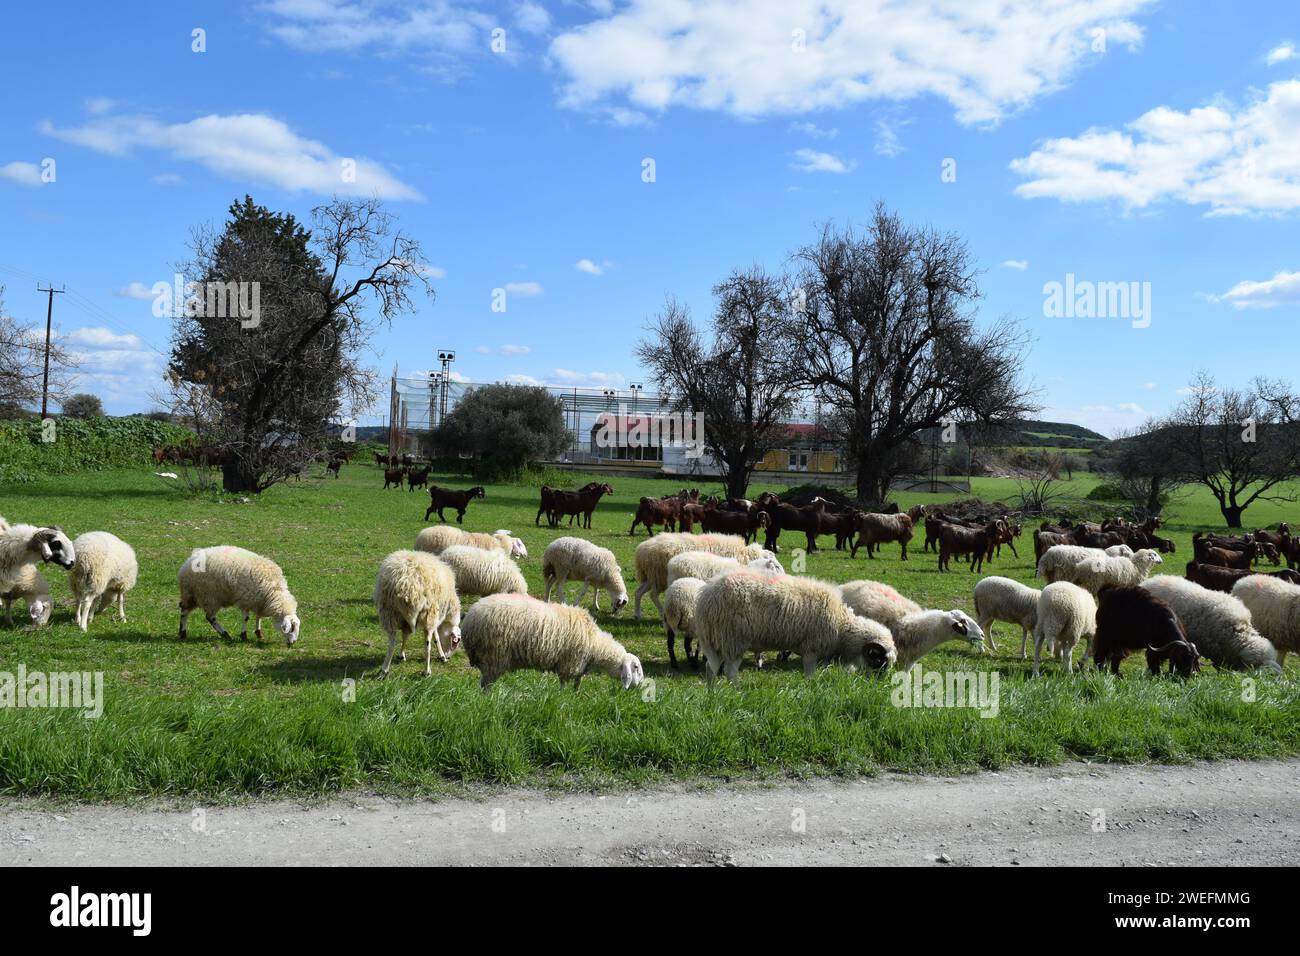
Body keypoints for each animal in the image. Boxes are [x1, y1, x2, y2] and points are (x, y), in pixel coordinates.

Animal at [460, 593, 643, 690]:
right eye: (635, 667)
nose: (640, 684)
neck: (596, 645)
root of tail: (470, 619)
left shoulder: (580, 666)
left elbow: (578, 682)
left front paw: (576, 696)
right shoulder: (568, 664)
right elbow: (563, 684)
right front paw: (564, 697)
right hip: (493, 656)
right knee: (486, 685)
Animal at [633, 532, 770, 620]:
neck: (743, 555)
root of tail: (641, 550)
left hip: (651, 577)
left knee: (638, 592)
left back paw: (638, 615)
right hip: (658, 576)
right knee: (653, 595)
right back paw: (661, 613)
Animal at [693, 569, 897, 683]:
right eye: (879, 660)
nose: (881, 684)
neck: (842, 626)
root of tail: (706, 597)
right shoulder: (811, 648)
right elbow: (810, 675)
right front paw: (811, 689)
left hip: (716, 640)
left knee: (711, 668)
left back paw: (713, 693)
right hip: (733, 638)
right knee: (730, 670)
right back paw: (736, 690)